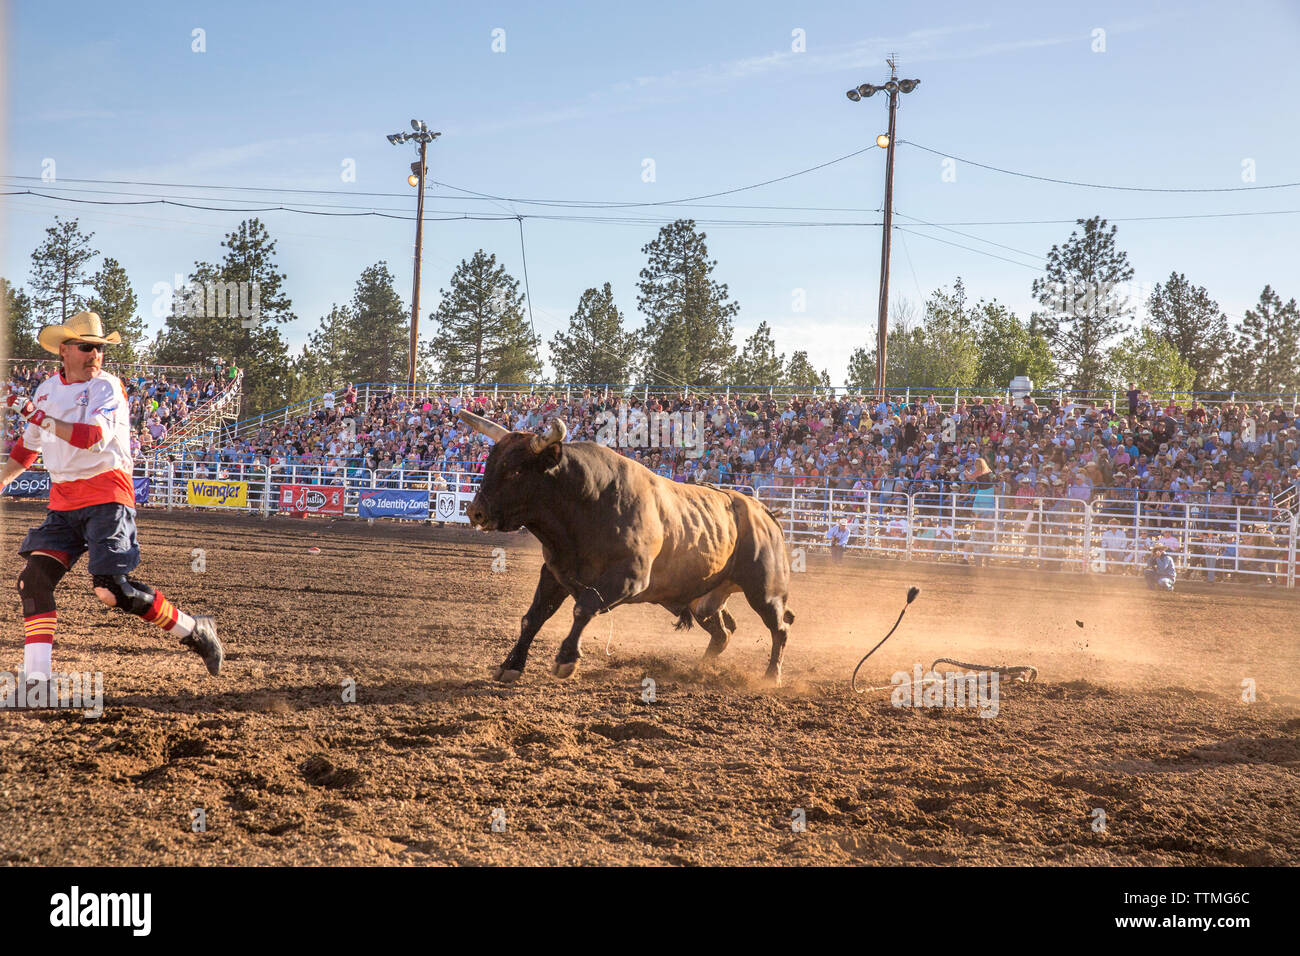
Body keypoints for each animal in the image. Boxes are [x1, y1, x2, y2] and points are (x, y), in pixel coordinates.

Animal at [458, 409, 795, 684]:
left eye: (515, 470)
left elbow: (584, 608)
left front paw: (567, 659)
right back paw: (699, 669)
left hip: (765, 592)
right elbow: (534, 616)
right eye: (490, 463)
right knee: (722, 634)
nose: (475, 511)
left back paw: (771, 676)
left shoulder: (629, 578)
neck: (587, 502)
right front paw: (511, 665)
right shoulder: (555, 572)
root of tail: (763, 512)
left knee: (779, 629)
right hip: (704, 599)